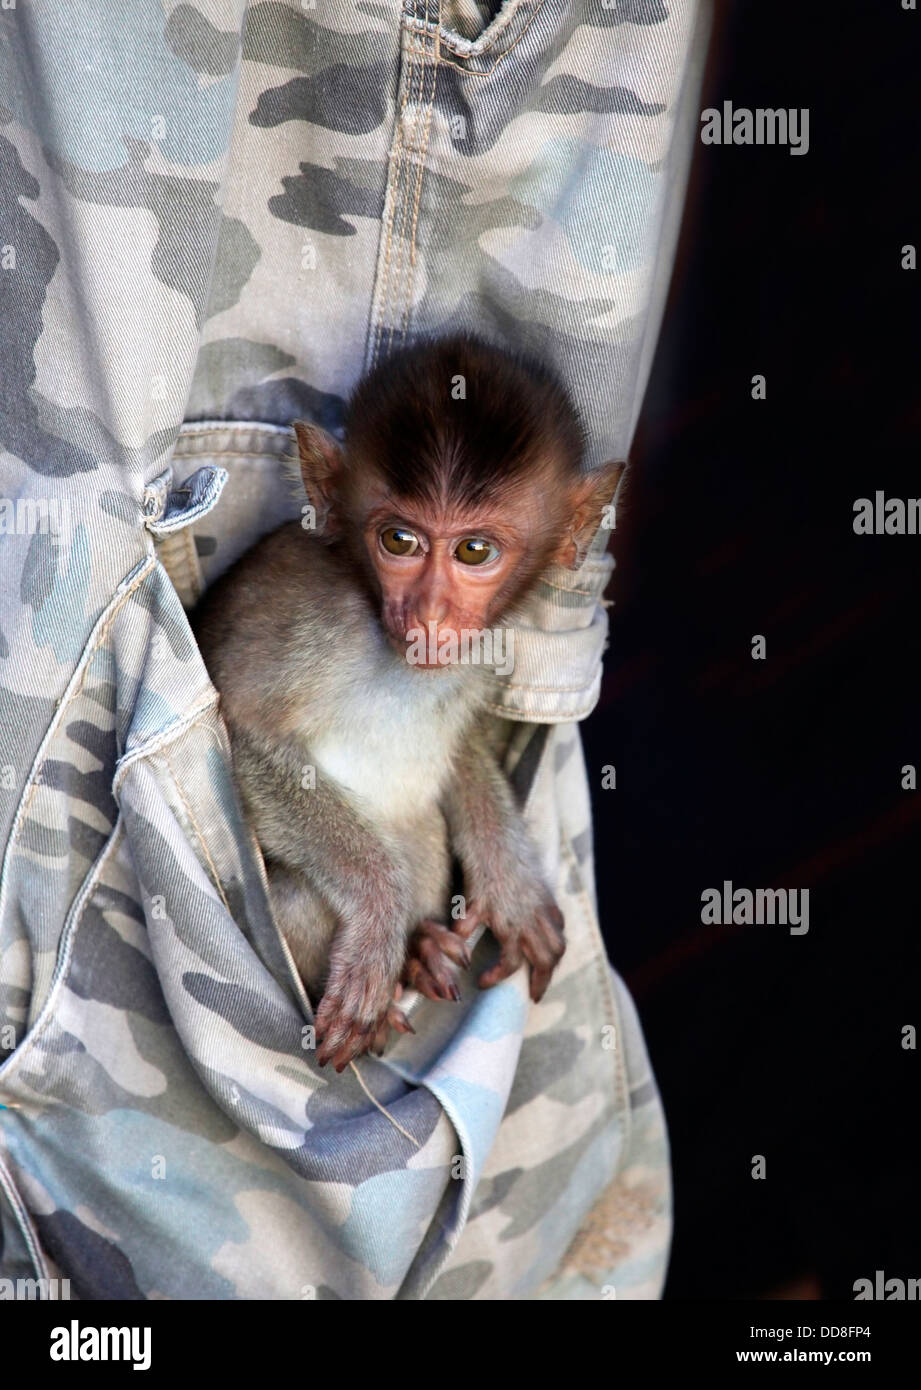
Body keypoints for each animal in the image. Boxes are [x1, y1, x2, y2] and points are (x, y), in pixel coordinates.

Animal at [192, 334, 623, 1072]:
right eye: (400, 541)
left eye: (474, 551)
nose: (430, 615)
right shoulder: (312, 617)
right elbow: (243, 733)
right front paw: (377, 917)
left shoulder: (486, 651)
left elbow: (462, 746)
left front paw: (510, 886)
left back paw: (423, 952)